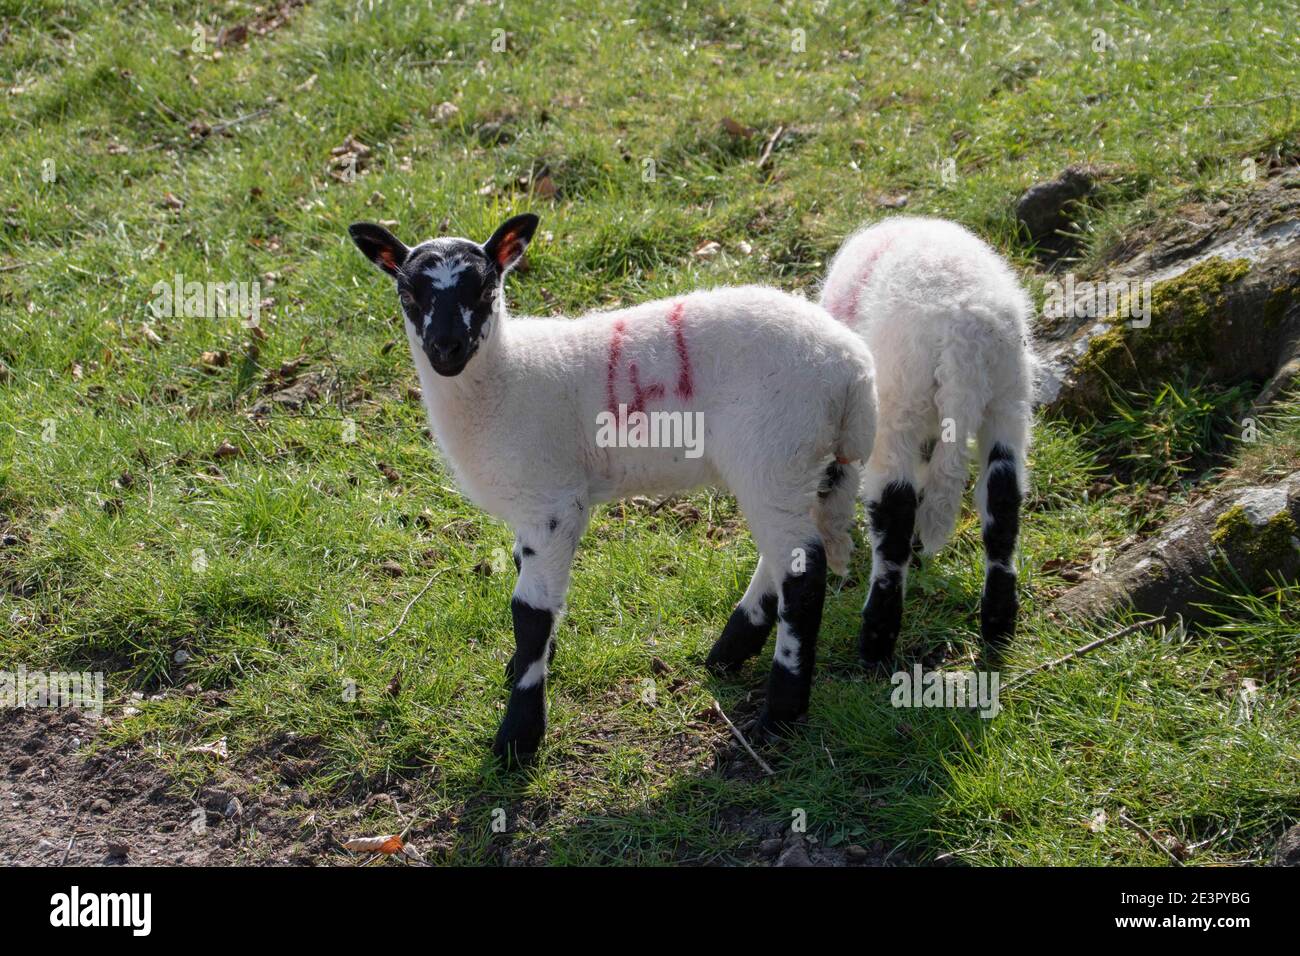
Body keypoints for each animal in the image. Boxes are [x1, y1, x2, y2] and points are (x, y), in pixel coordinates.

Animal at [348, 213, 877, 765]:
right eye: (408, 294)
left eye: (486, 290)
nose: (446, 349)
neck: (506, 379)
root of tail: (854, 368)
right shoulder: (531, 501)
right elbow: (525, 576)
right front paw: (527, 667)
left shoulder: (555, 501)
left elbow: (529, 611)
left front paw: (519, 736)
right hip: (798, 464)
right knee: (786, 556)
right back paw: (732, 650)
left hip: (774, 449)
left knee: (803, 572)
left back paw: (780, 716)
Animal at [819, 216, 1034, 664]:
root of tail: (963, 335)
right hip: (1008, 395)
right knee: (1003, 498)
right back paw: (998, 621)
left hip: (900, 400)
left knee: (895, 508)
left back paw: (876, 640)